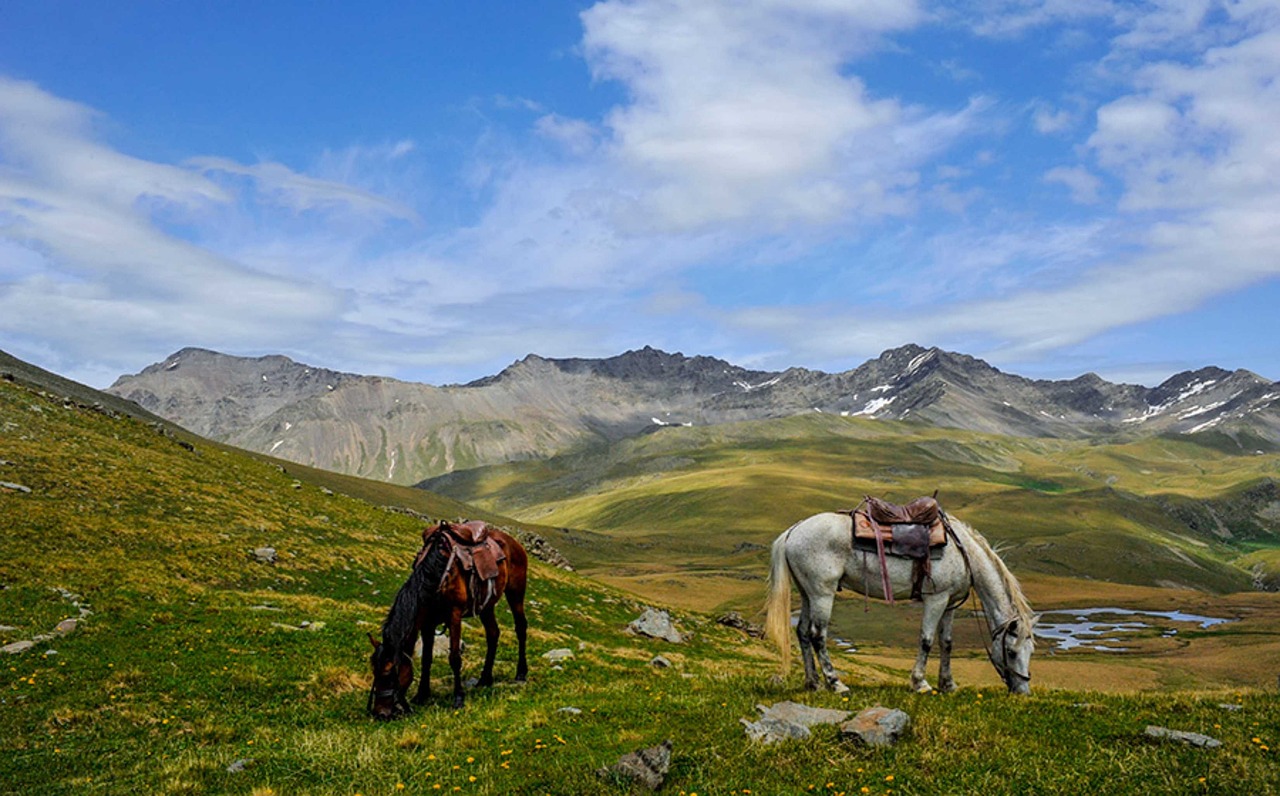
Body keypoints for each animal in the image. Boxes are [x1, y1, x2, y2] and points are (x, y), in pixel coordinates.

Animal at [367, 521, 529, 719]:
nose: (380, 713)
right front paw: (422, 695)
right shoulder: (427, 623)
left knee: (520, 628)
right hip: (486, 606)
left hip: (515, 592)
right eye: (374, 671)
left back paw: (521, 673)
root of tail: (514, 542)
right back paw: (485, 679)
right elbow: (426, 659)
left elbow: (454, 658)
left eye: (391, 673)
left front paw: (458, 698)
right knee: (493, 633)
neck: (435, 574)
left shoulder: (454, 616)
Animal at [764, 511, 1037, 695]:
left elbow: (946, 643)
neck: (963, 552)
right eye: (1011, 652)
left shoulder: (949, 603)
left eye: (1030, 651)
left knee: (802, 632)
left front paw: (948, 684)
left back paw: (813, 683)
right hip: (823, 593)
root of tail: (793, 531)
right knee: (817, 635)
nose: (1023, 692)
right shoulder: (936, 599)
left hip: (807, 593)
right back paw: (836, 683)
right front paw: (920, 683)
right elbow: (927, 640)